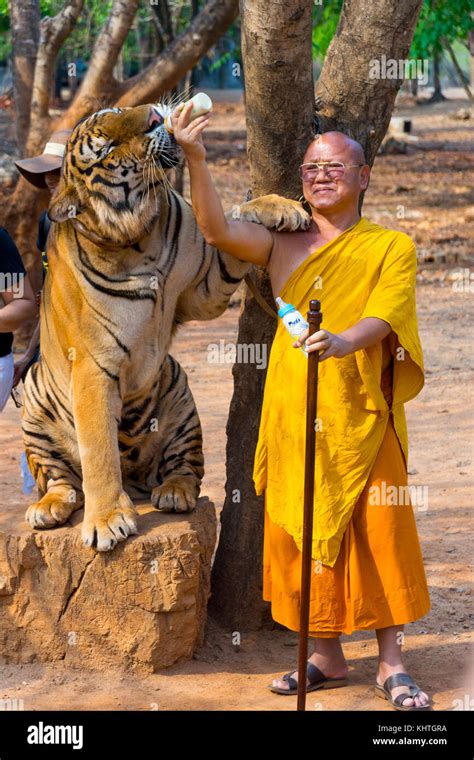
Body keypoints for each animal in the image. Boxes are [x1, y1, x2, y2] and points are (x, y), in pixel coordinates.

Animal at [22, 101, 310, 552]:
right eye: (107, 147)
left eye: (118, 109)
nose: (156, 117)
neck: (138, 237)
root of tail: (138, 484)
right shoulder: (92, 366)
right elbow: (98, 448)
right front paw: (106, 521)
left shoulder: (207, 284)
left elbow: (231, 223)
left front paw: (280, 207)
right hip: (35, 399)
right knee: (62, 480)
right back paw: (50, 507)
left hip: (179, 393)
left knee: (186, 465)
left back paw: (174, 491)